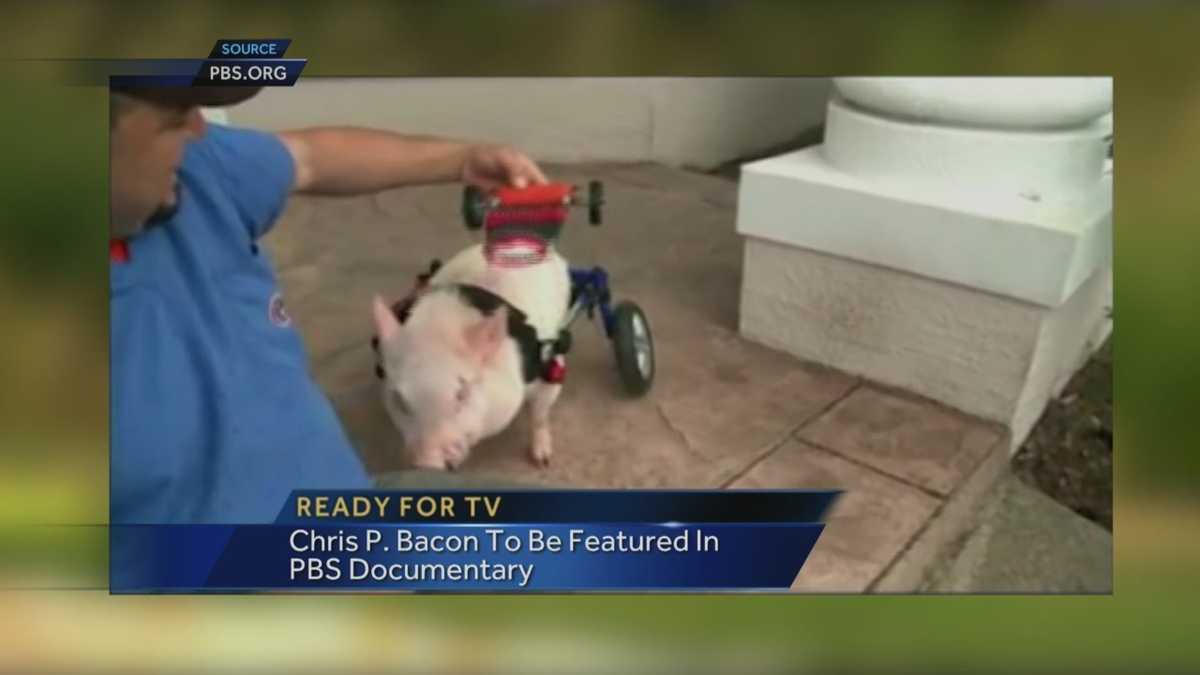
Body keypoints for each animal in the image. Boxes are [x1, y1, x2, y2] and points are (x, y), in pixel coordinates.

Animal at [371, 243, 570, 470]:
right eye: (399, 399)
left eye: (462, 393)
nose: (426, 463)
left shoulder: (550, 362)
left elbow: (540, 415)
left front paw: (542, 460)